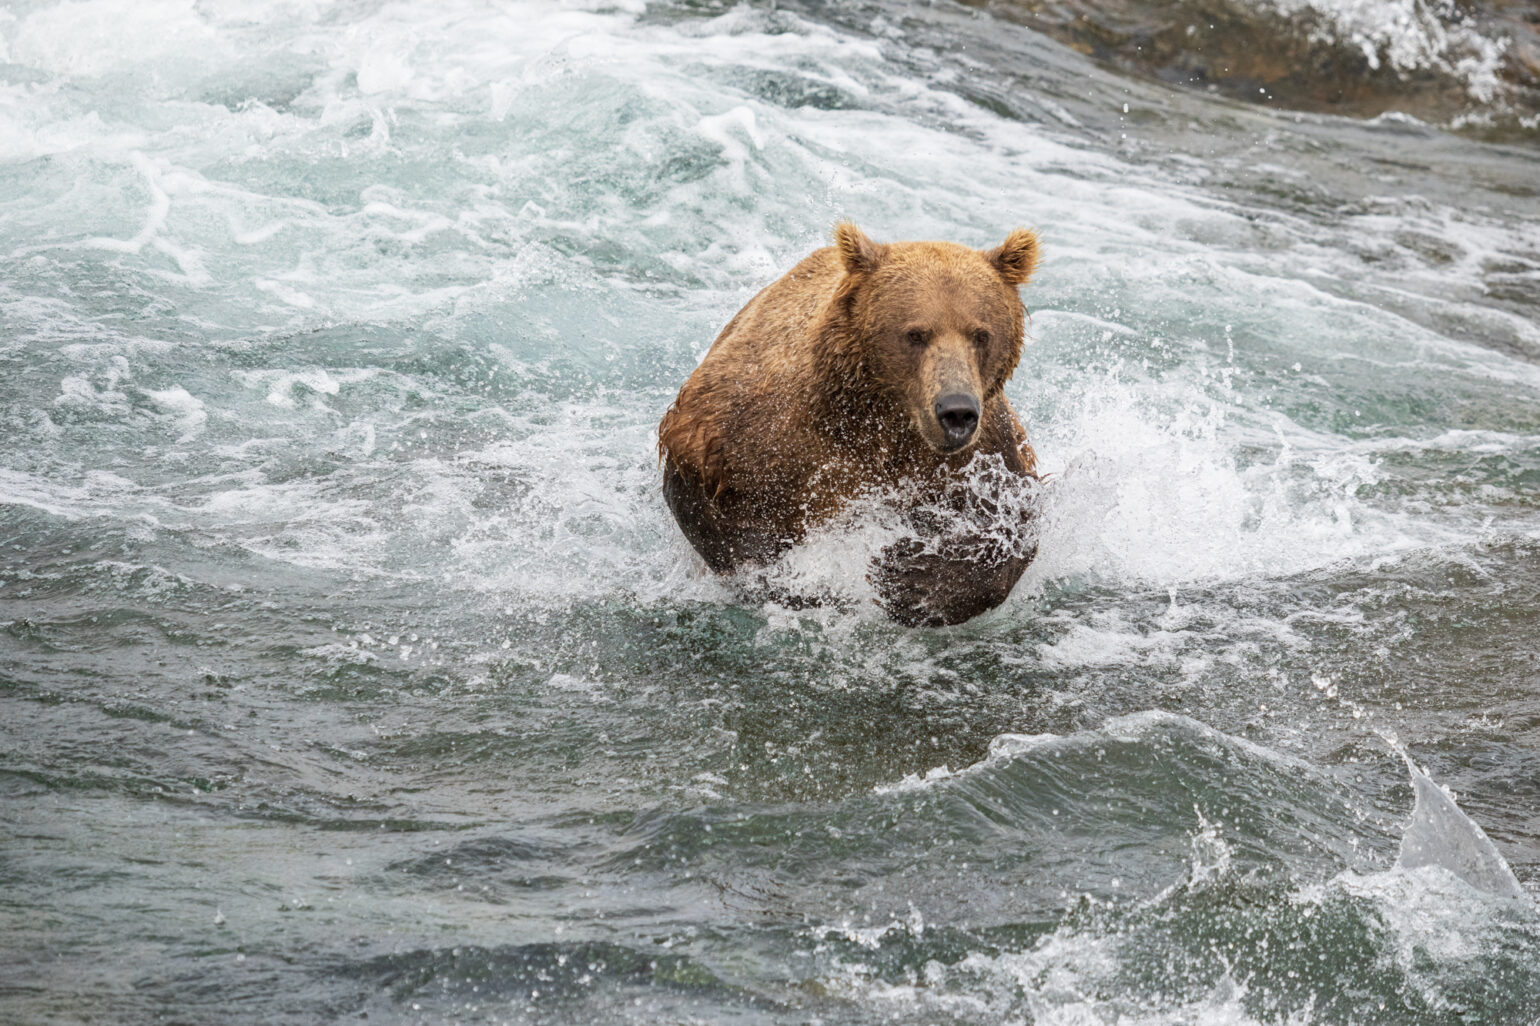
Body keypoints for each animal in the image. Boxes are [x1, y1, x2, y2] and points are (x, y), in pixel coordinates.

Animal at [658, 222, 1042, 627]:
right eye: (916, 334)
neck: (878, 415)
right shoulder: (758, 422)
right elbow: (704, 481)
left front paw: (911, 577)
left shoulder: (981, 451)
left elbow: (1013, 515)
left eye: (980, 334)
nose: (956, 411)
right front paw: (777, 571)